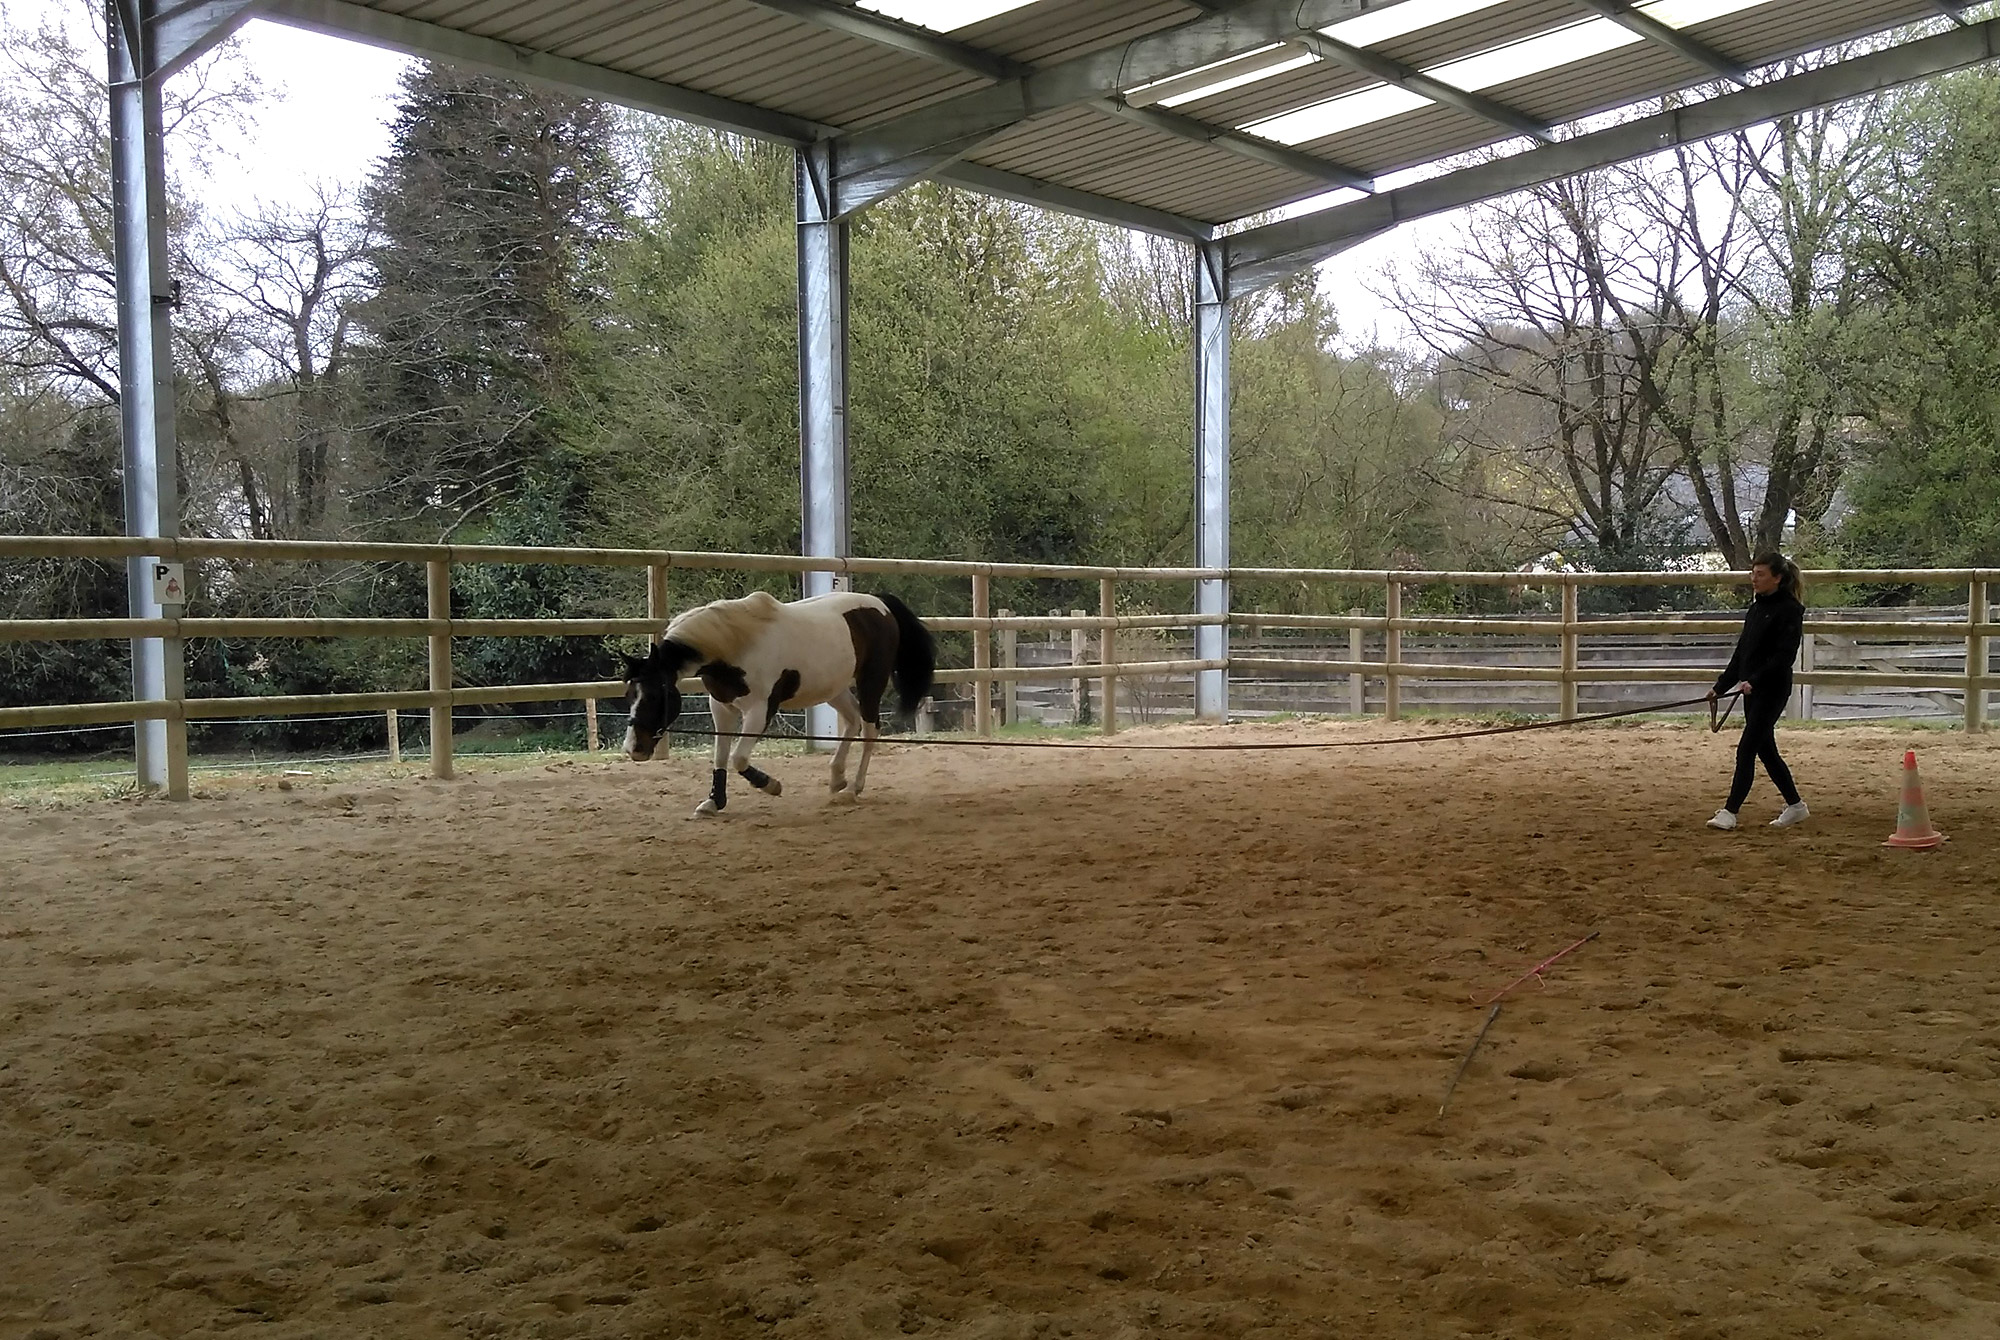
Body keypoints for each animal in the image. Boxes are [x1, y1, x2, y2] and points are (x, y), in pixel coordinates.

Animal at [618, 589, 935, 816]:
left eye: (655, 696)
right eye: (629, 695)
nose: (635, 749)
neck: (735, 644)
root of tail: (879, 604)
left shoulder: (760, 711)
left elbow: (738, 757)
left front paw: (770, 785)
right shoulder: (721, 706)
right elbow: (720, 755)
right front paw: (714, 802)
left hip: (871, 682)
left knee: (870, 729)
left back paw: (853, 788)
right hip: (833, 688)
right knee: (852, 720)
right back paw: (837, 779)